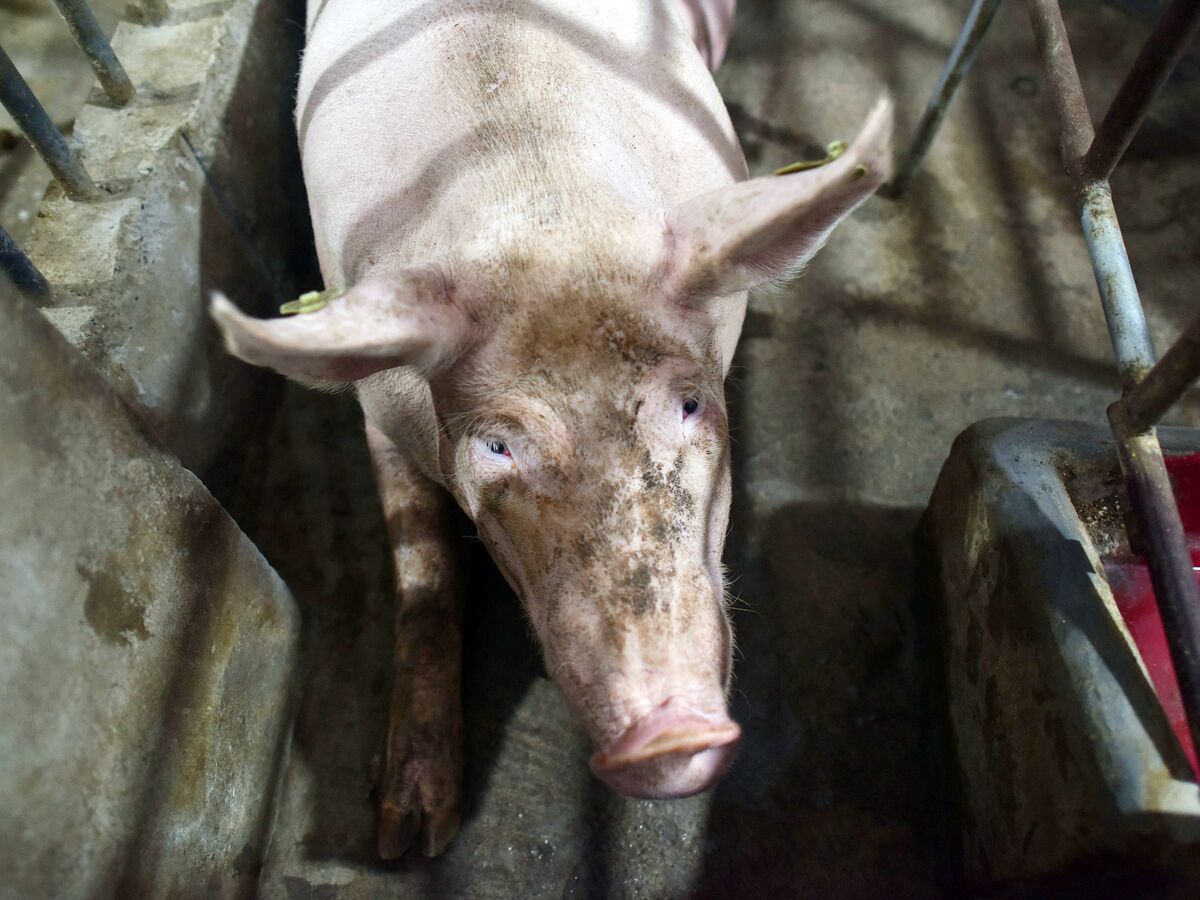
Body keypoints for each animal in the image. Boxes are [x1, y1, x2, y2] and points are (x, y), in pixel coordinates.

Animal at [211, 0, 891, 859]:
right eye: (497, 445)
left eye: (691, 404)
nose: (670, 733)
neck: (540, 210)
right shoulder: (379, 413)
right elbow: (423, 577)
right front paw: (410, 837)